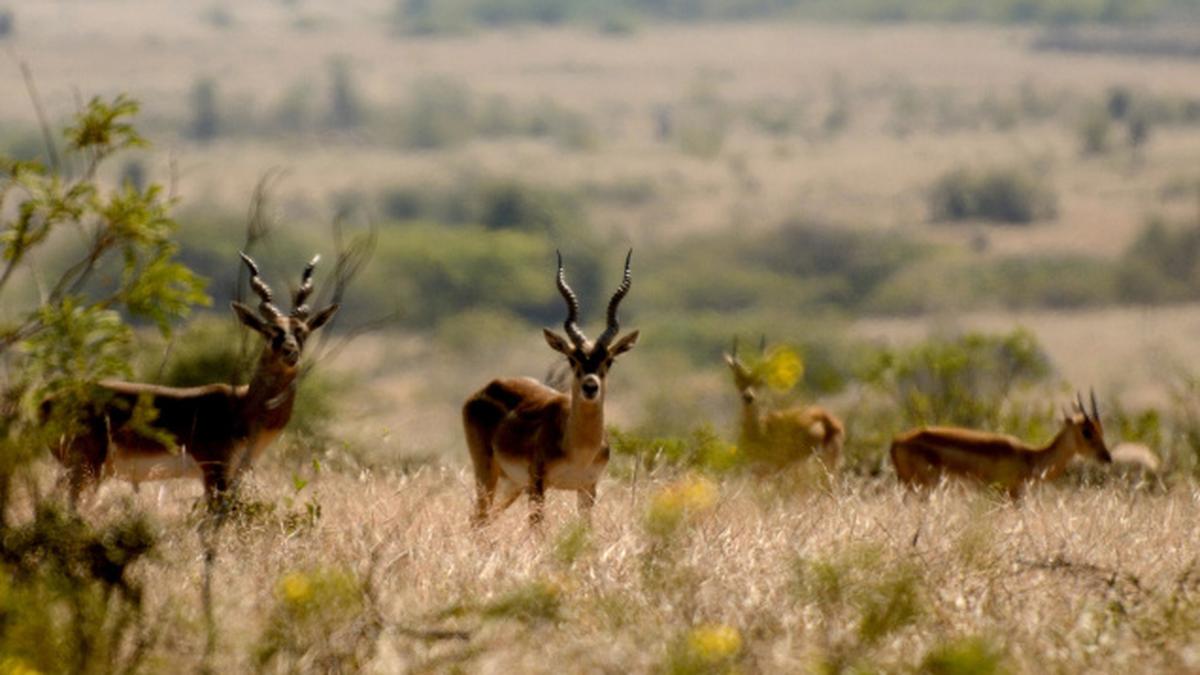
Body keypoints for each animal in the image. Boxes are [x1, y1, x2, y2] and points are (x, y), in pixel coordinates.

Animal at [49, 253, 338, 511]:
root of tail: (49, 401)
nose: (291, 352)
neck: (241, 406)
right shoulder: (214, 471)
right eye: (270, 331)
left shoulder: (235, 471)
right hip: (86, 469)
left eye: (302, 332)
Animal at [463, 251, 638, 527]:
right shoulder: (538, 485)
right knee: (477, 519)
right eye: (572, 358)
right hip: (487, 474)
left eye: (609, 360)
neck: (578, 449)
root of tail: (485, 388)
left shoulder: (588, 489)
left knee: (483, 519)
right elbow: (538, 530)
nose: (590, 387)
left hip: (511, 484)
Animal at [890, 391, 1112, 498]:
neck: (1029, 457)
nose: (1107, 457)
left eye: (1101, 429)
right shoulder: (1008, 493)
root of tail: (897, 440)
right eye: (1086, 431)